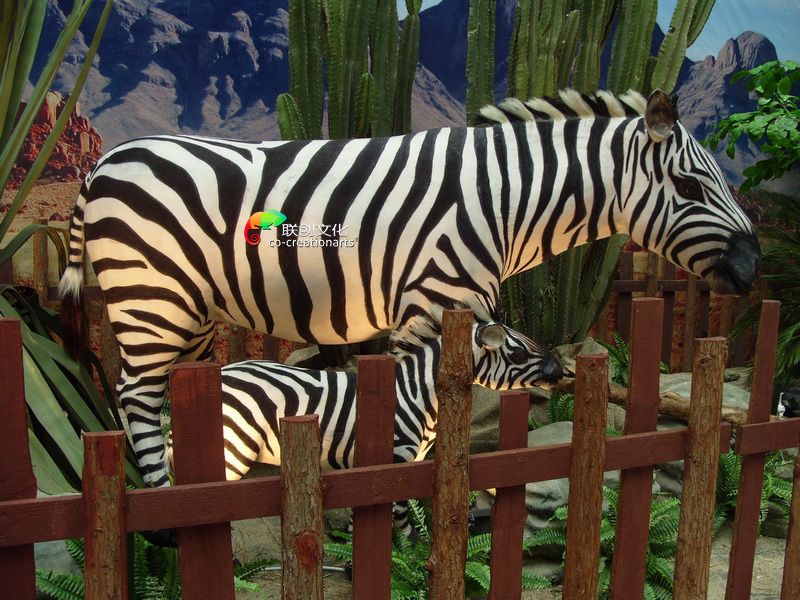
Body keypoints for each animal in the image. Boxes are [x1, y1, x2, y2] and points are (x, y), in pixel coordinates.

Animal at [58, 89, 760, 486]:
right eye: (690, 187)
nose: (755, 267)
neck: (504, 199)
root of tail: (103, 162)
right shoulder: (434, 305)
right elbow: (414, 408)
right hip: (149, 298)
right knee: (136, 399)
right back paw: (161, 507)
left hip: (192, 312)